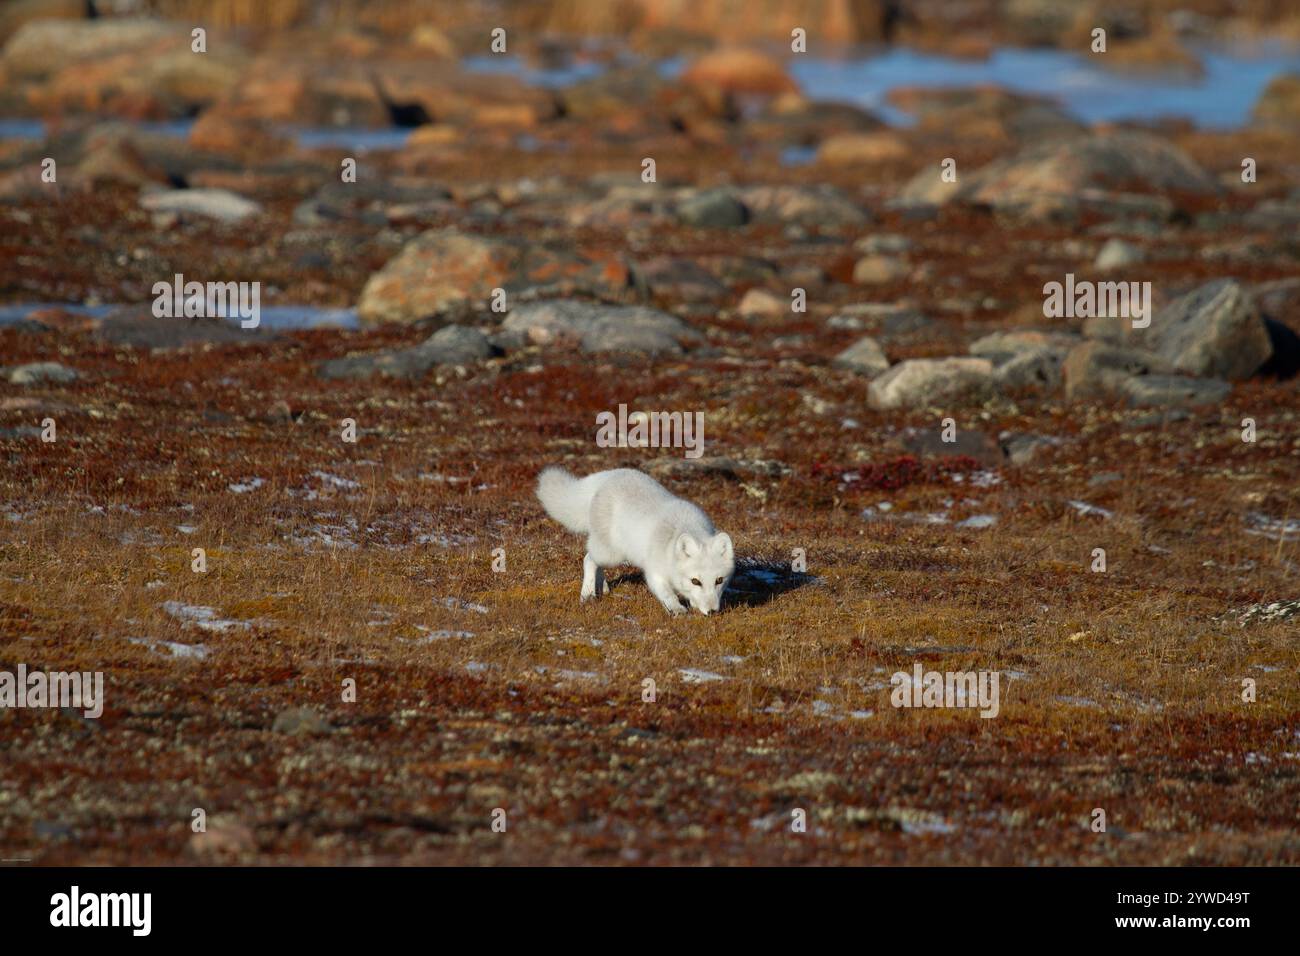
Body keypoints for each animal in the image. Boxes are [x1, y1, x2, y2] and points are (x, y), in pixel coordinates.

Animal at [536, 466, 734, 616]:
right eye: (695, 581)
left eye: (719, 580)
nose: (713, 612)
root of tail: (609, 475)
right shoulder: (654, 572)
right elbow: (667, 594)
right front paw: (677, 609)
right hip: (612, 554)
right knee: (588, 559)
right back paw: (588, 594)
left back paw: (603, 587)